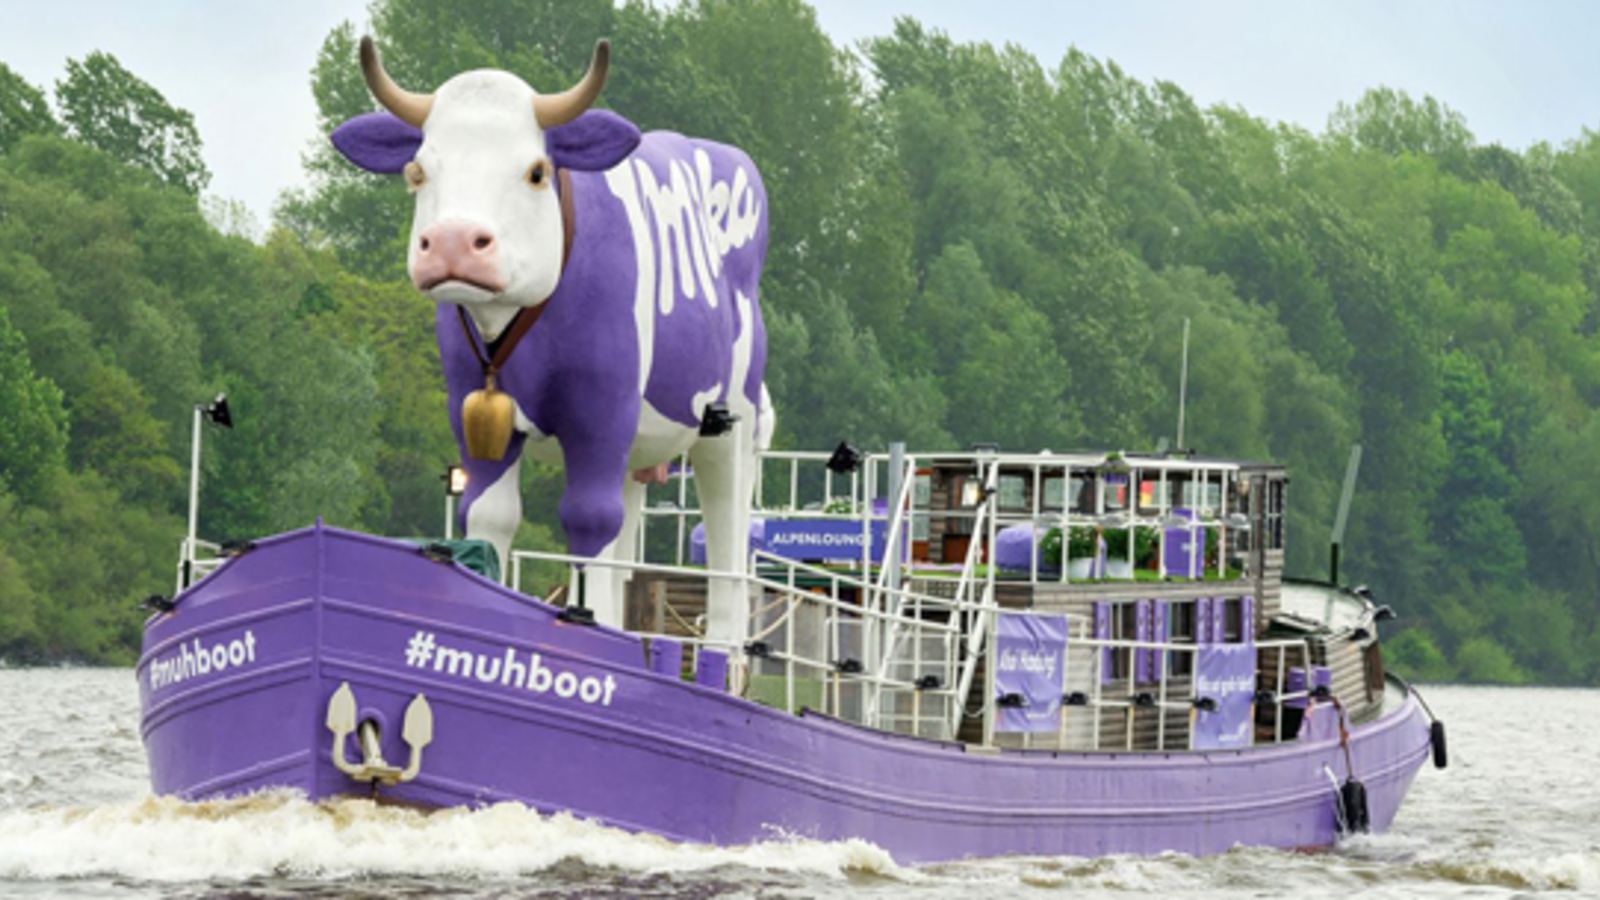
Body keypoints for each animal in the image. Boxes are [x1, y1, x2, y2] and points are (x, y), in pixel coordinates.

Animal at [331, 38, 771, 648]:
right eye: (417, 170)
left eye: (537, 171)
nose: (452, 243)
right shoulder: (468, 406)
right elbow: (487, 514)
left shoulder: (600, 408)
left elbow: (589, 518)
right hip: (638, 444)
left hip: (732, 422)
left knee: (727, 537)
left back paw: (725, 653)